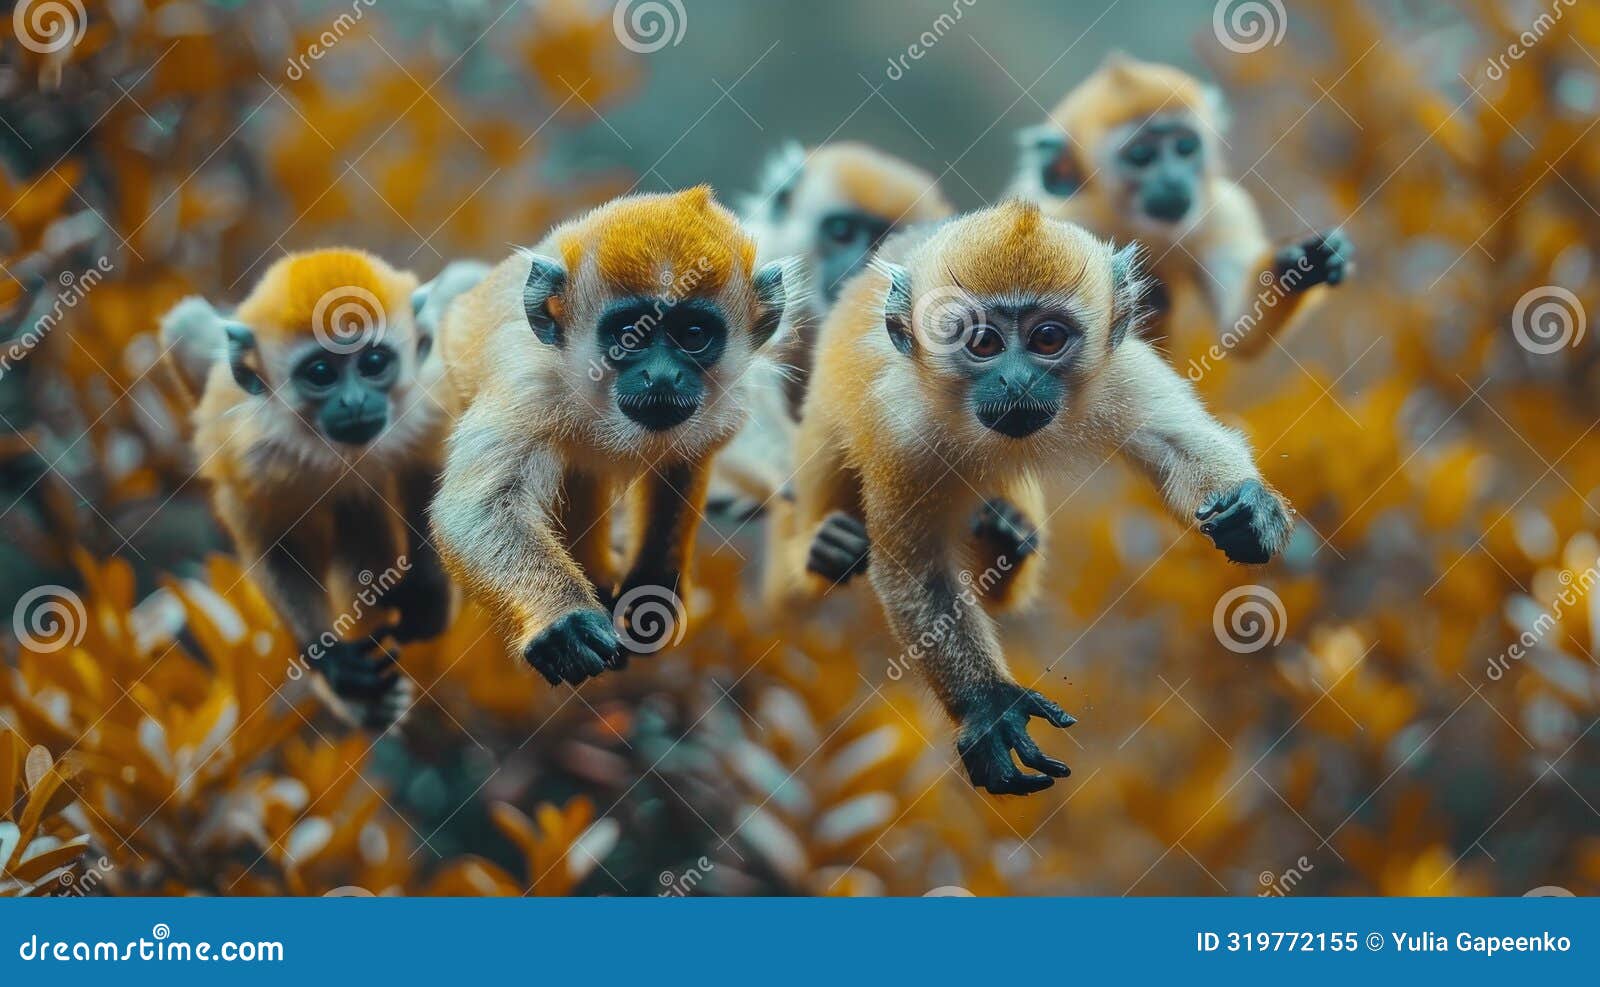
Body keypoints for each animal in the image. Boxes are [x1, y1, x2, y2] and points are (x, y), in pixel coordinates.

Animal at [160, 250, 484, 728]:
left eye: (373, 363)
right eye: (320, 372)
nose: (354, 402)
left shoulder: (428, 401)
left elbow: (433, 475)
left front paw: (427, 599)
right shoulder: (251, 456)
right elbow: (276, 544)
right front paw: (331, 659)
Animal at [428, 187, 789, 686]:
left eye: (693, 334)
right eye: (630, 333)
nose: (662, 376)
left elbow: (680, 465)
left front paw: (652, 591)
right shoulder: (530, 382)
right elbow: (474, 509)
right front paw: (564, 621)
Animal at [772, 200, 1293, 795]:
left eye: (1047, 339)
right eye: (983, 343)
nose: (1017, 381)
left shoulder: (1123, 373)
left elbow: (1184, 445)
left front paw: (1250, 508)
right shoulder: (899, 428)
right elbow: (913, 570)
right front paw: (990, 707)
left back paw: (1005, 540)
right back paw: (825, 551)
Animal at [1011, 52, 1351, 359]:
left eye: (1185, 146)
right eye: (1141, 157)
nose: (1173, 179)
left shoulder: (1224, 212)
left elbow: (1238, 330)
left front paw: (1303, 262)